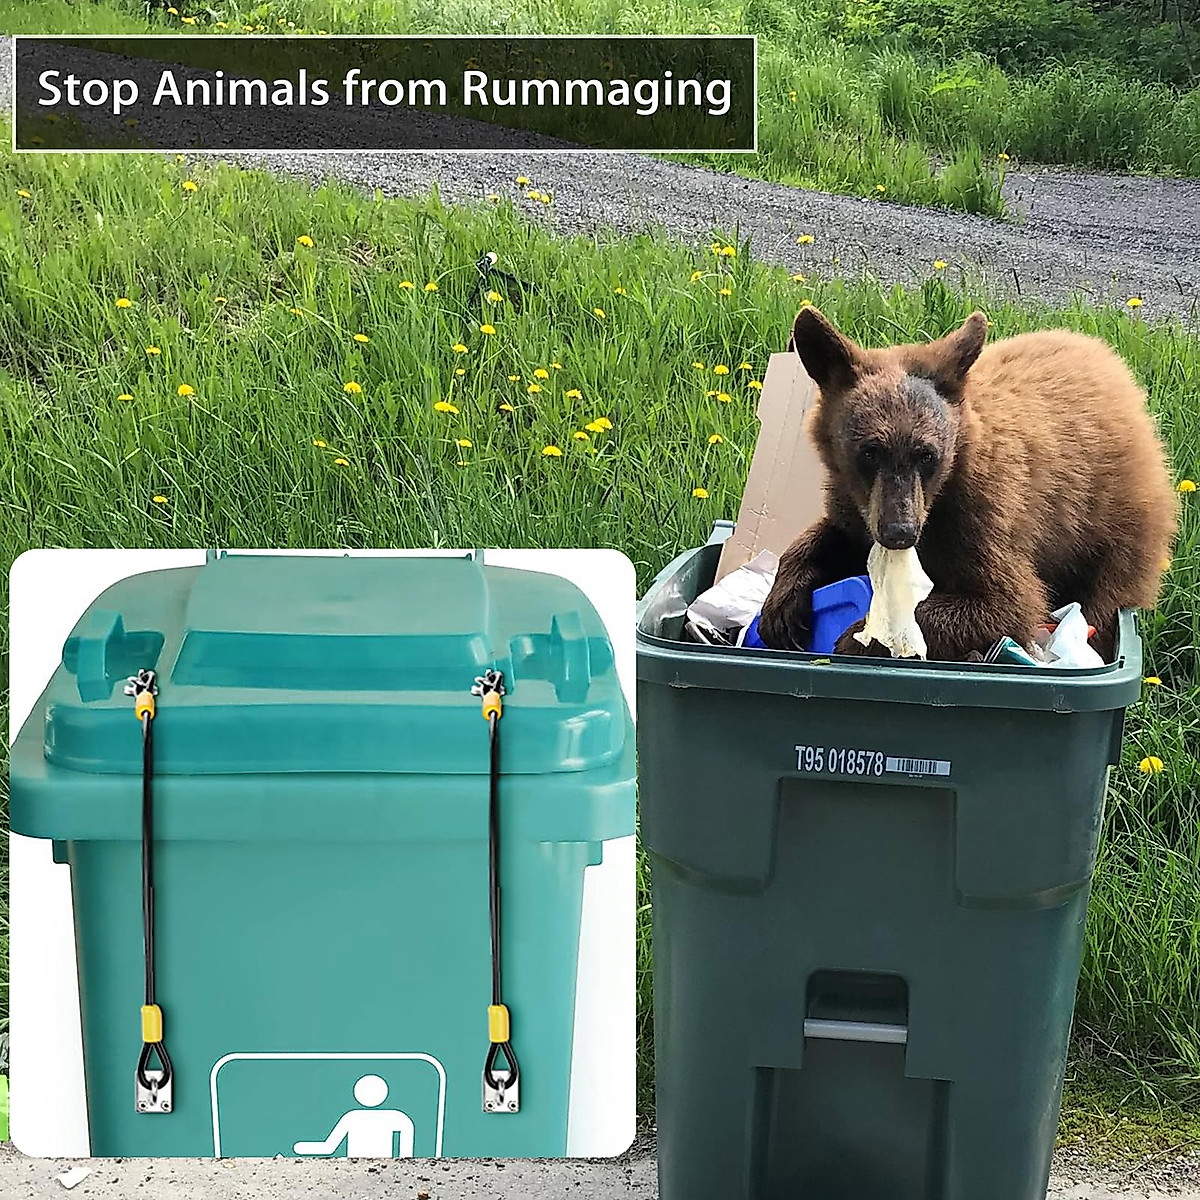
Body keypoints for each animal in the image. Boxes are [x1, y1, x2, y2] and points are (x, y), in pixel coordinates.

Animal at [756, 306, 1177, 663]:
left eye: (927, 454)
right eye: (869, 451)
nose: (900, 532)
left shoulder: (982, 516)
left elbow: (1008, 602)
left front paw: (861, 637)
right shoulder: (855, 504)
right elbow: (831, 535)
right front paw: (781, 605)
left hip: (1115, 528)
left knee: (1105, 602)